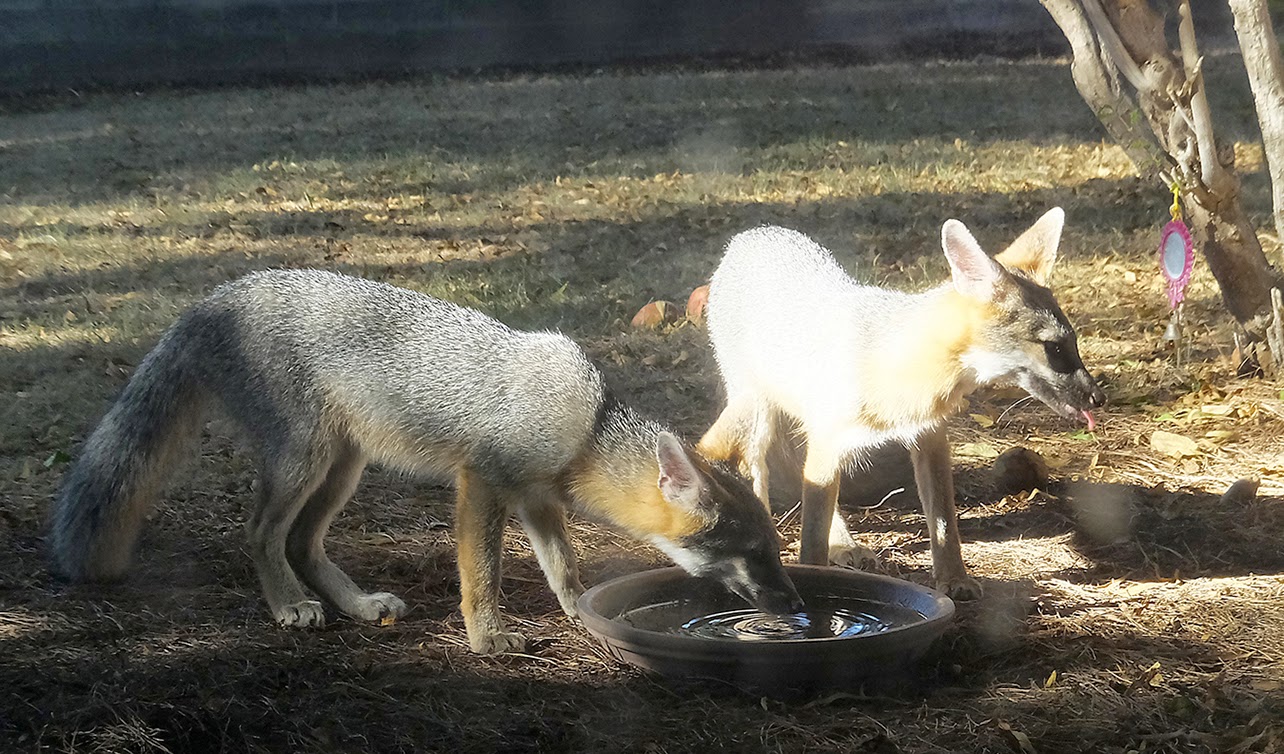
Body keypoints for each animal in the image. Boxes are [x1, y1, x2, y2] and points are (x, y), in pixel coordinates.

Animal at [49, 269, 802, 654]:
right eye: (756, 554)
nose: (796, 607)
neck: (587, 426)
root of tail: (215, 298)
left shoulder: (536, 498)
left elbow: (565, 569)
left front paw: (580, 611)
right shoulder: (483, 482)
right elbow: (483, 575)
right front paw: (487, 637)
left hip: (342, 469)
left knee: (302, 542)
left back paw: (355, 605)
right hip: (305, 460)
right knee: (260, 534)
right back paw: (289, 605)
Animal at [697, 208, 1105, 599]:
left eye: (1073, 343)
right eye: (1054, 349)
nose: (1098, 398)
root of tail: (755, 233)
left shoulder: (931, 439)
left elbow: (944, 525)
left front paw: (954, 578)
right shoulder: (829, 440)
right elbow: (812, 534)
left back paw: (844, 544)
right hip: (757, 415)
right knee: (759, 472)